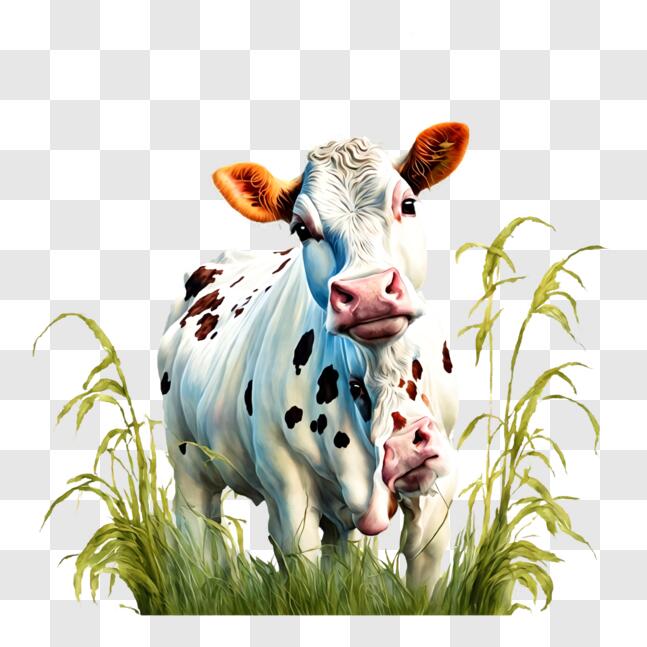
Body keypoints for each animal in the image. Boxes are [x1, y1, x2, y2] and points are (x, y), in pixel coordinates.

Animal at [157, 122, 468, 593]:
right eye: (302, 229)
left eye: (408, 203)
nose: (368, 291)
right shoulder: (286, 485)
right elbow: (301, 566)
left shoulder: (438, 479)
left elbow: (422, 570)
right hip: (188, 462)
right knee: (197, 536)